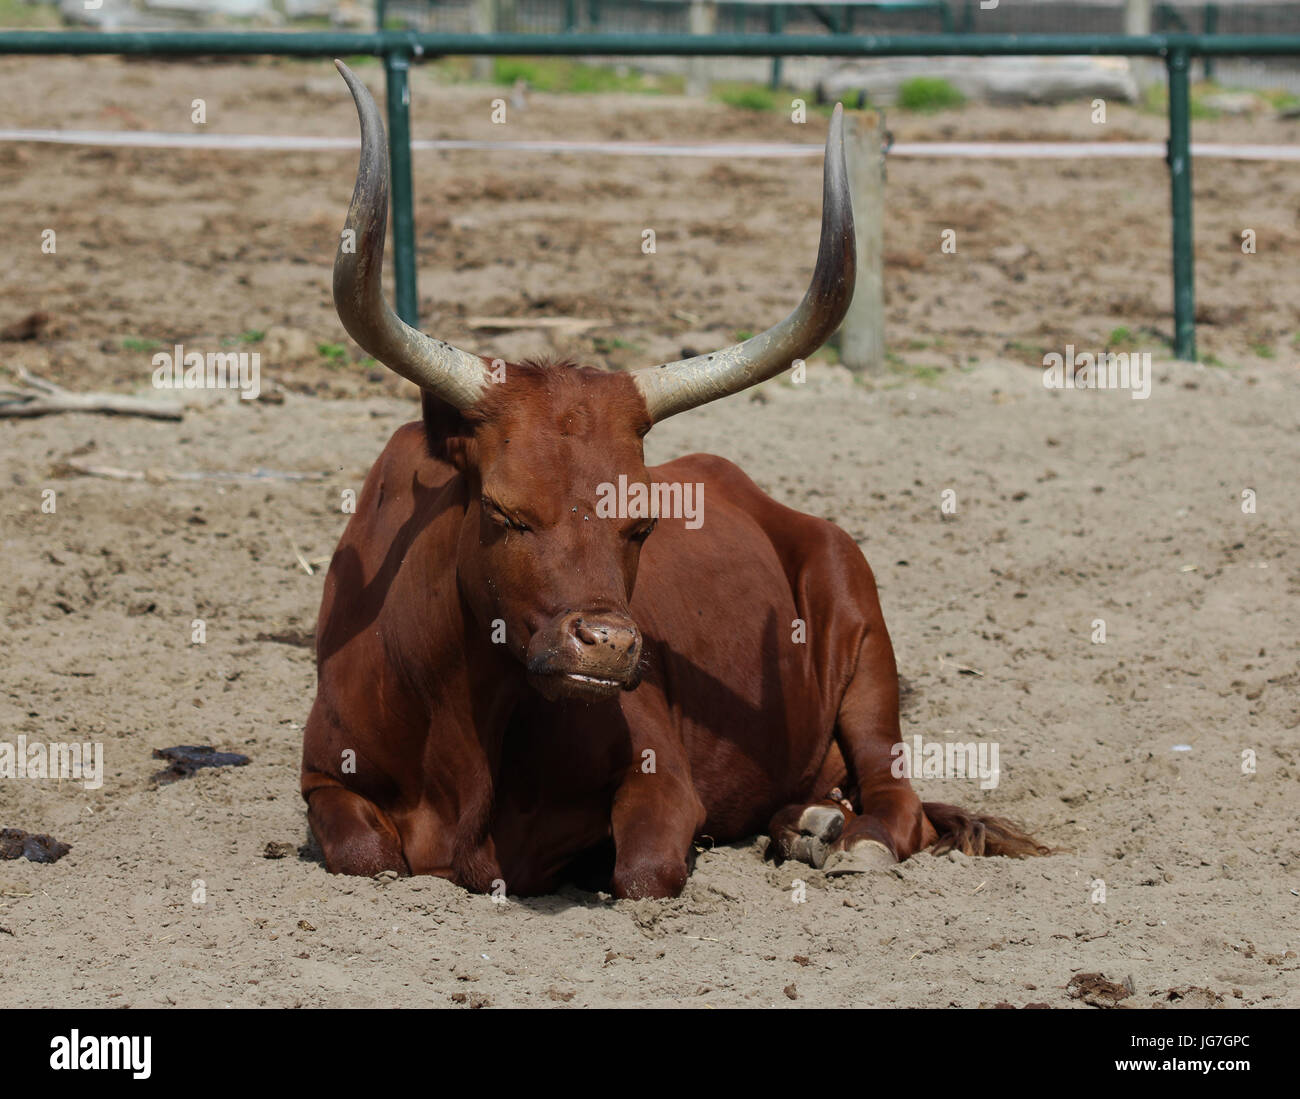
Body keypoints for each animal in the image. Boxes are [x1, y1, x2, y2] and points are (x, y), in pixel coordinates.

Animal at [301, 61, 1047, 899]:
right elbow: (364, 853)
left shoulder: (663, 778)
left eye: (642, 522)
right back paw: (808, 821)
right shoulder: (323, 776)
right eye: (502, 510)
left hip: (867, 650)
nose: (607, 646)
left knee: (899, 802)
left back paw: (846, 839)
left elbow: (644, 871)